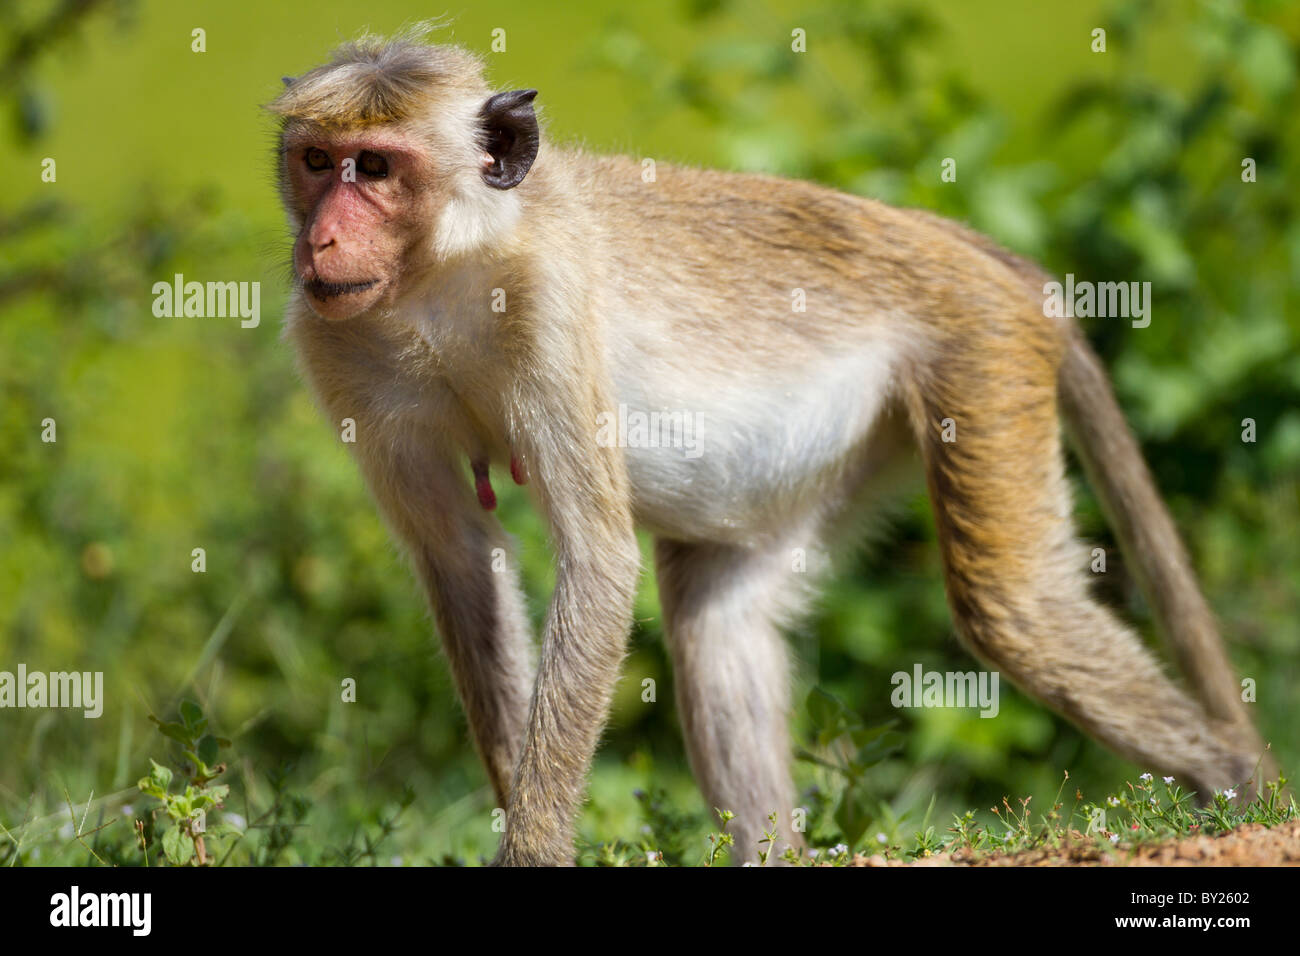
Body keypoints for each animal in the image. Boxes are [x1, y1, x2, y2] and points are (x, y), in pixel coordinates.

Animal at [269, 27, 1269, 866]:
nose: (323, 237)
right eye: (317, 163)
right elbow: (461, 564)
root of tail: (968, 249)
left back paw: (1237, 785)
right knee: (718, 612)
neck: (445, 269)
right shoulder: (332, 344)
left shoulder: (547, 306)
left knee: (1014, 610)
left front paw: (536, 846)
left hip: (981, 350)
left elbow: (597, 561)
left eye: (377, 168)